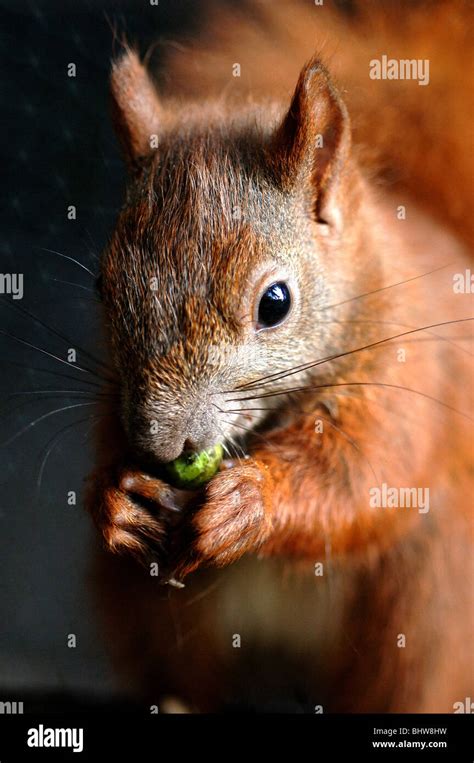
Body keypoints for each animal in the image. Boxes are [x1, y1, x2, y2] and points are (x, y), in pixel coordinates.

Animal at [86, 0, 473, 712]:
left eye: (275, 303)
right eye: (104, 286)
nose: (160, 443)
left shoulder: (408, 378)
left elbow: (367, 476)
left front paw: (250, 499)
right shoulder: (110, 403)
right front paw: (117, 499)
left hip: (423, 598)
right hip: (154, 617)